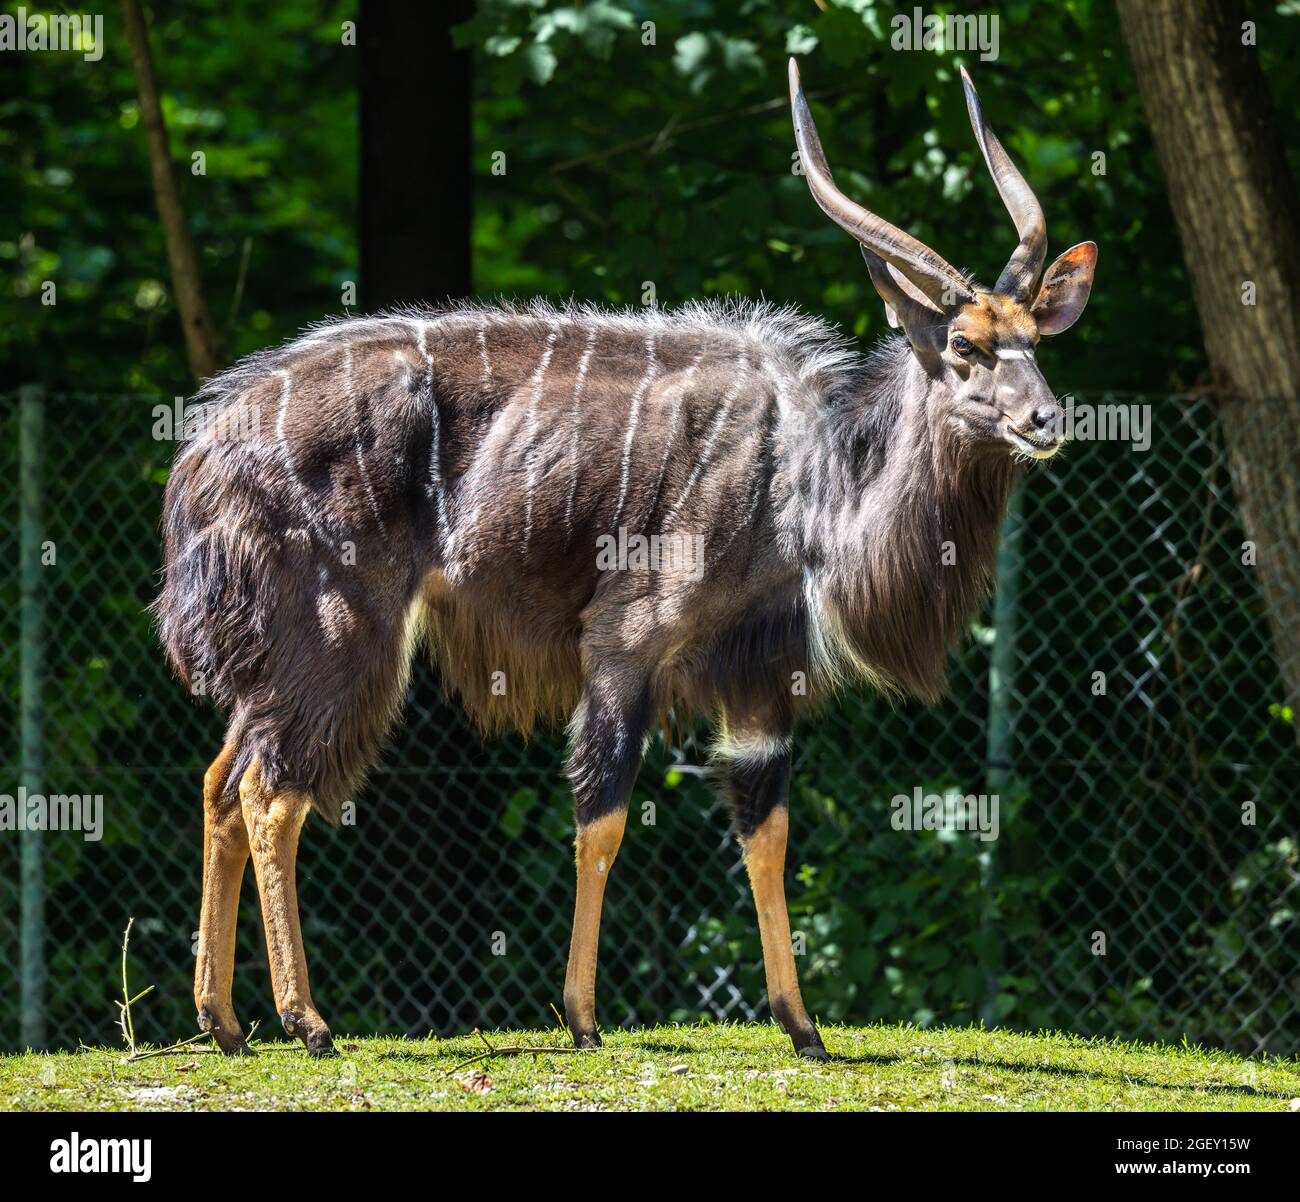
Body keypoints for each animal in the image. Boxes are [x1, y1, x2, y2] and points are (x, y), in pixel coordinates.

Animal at [155, 61, 1096, 1060]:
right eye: (963, 343)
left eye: (1036, 339)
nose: (1046, 418)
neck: (805, 477)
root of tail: (205, 449)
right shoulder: (624, 646)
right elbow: (602, 817)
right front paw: (582, 1015)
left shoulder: (761, 684)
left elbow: (767, 833)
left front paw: (800, 1024)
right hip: (344, 640)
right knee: (273, 791)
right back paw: (307, 1020)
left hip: (287, 662)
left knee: (222, 780)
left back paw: (223, 1021)